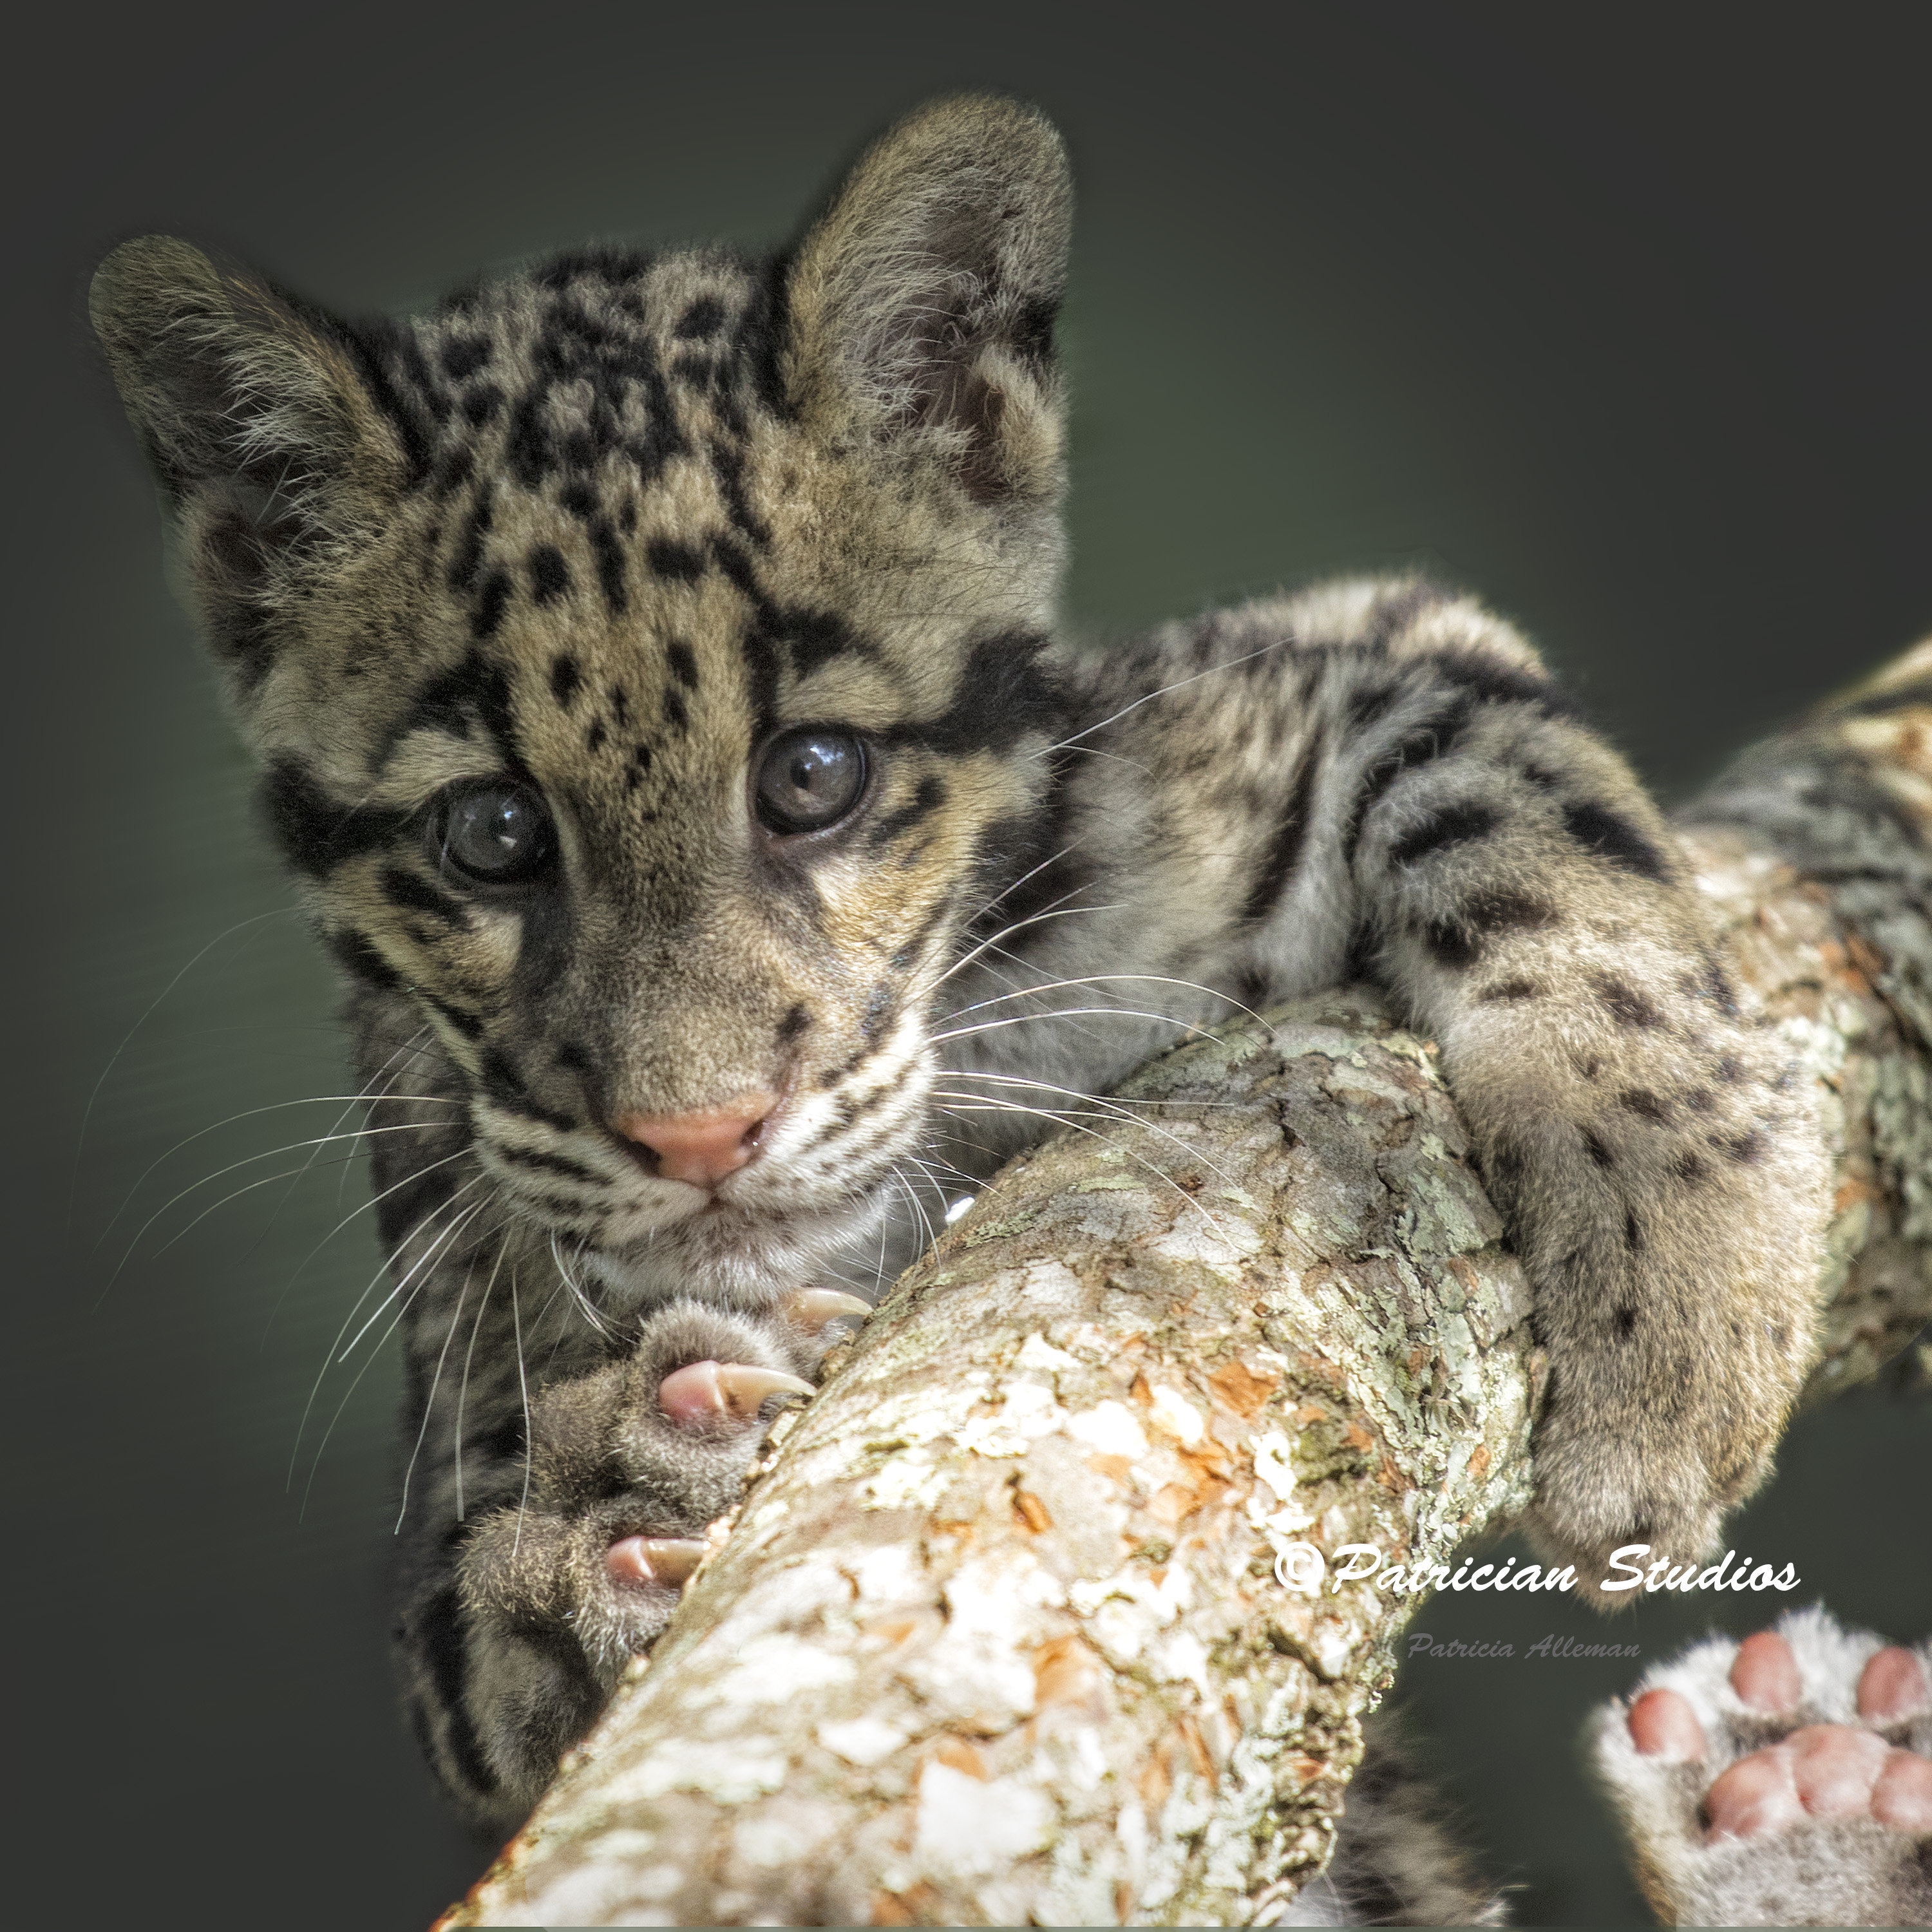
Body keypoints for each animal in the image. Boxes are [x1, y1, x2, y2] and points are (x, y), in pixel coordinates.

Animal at [96, 90, 1899, 1922]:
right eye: (491, 835)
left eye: (813, 775)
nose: (701, 1132)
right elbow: (473, 1657)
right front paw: (601, 1498)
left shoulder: (1358, 638)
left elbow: (1513, 804)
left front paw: (1677, 1310)